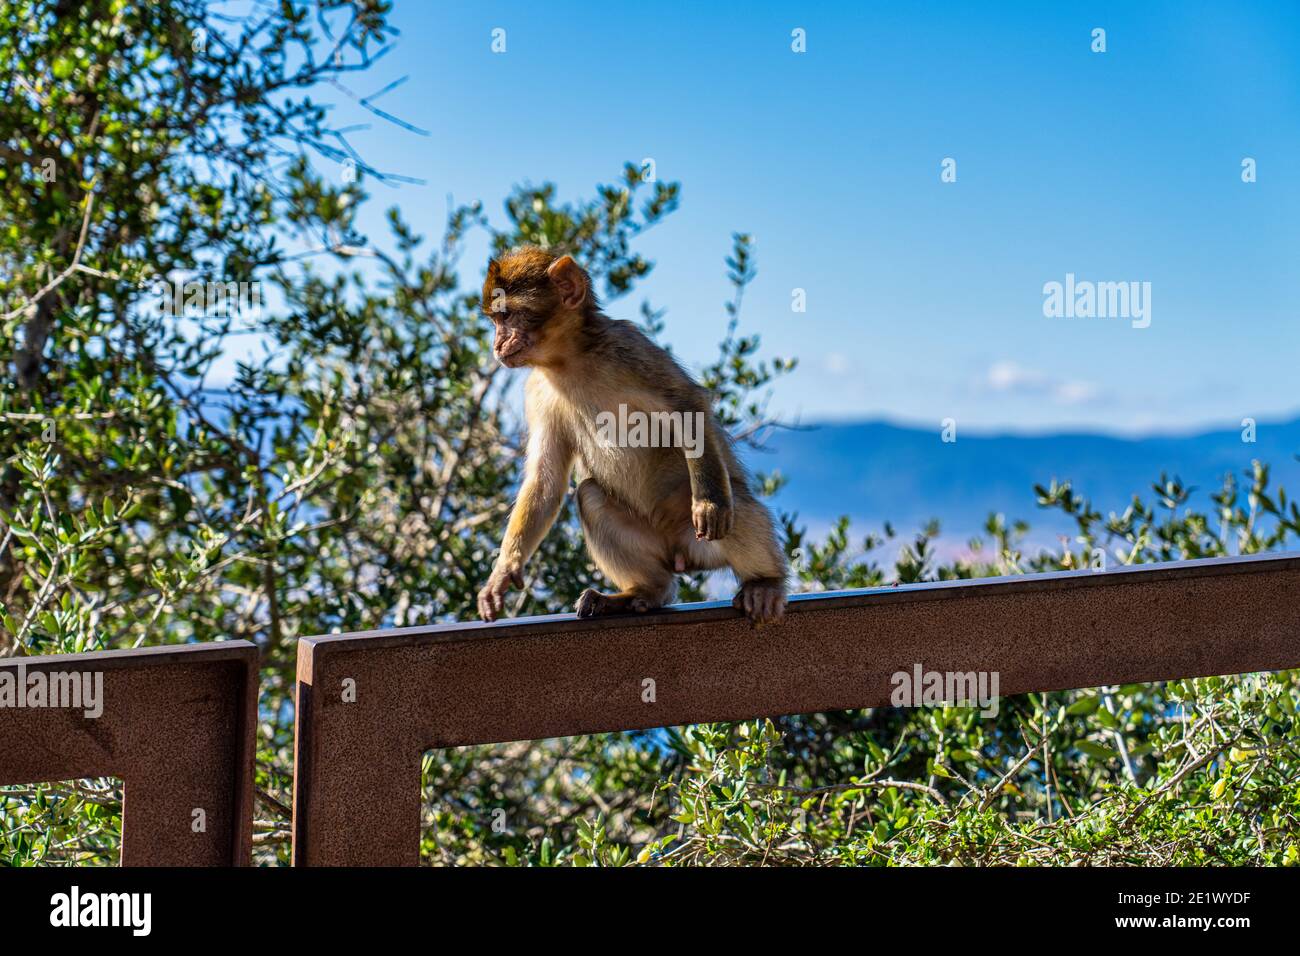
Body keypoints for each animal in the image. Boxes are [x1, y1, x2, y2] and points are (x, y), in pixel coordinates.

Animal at [475, 246, 788, 627]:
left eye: (508, 316)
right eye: (495, 320)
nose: (497, 344)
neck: (568, 361)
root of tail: (682, 554)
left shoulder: (628, 348)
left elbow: (687, 406)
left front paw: (710, 503)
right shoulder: (537, 391)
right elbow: (545, 478)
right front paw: (503, 572)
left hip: (700, 540)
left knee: (737, 507)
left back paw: (765, 582)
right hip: (658, 546)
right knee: (591, 495)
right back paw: (644, 592)